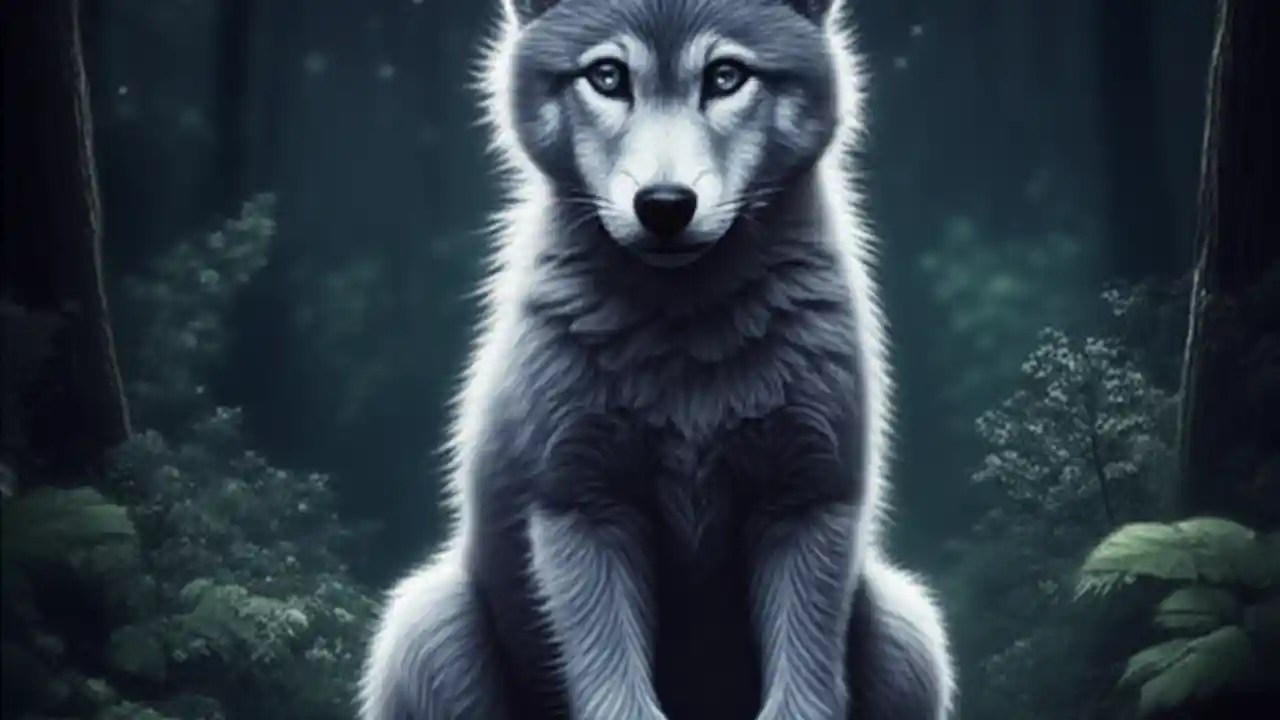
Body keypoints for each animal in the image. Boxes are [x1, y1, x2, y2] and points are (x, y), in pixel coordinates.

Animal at [360, 0, 954, 718]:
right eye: (608, 77)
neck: (685, 341)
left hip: (909, 632)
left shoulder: (809, 505)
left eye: (725, 77)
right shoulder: (583, 512)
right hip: (425, 629)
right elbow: (617, 694)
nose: (665, 206)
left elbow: (804, 691)